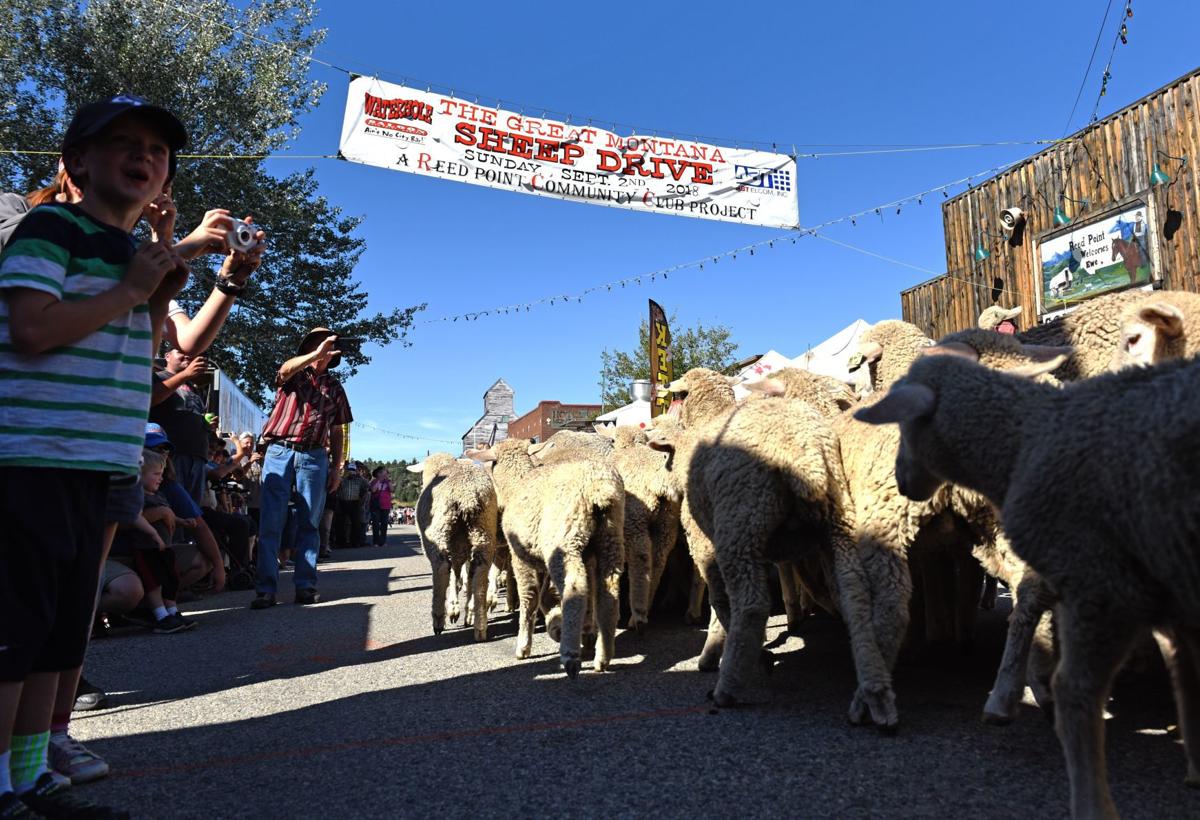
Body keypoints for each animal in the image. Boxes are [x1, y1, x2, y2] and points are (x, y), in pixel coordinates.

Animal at [408, 453, 499, 641]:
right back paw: (479, 625)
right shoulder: (462, 549)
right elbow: (463, 576)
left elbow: (453, 577)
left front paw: (453, 609)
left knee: (442, 568)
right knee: (480, 573)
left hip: (440, 532)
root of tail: (468, 494)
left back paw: (438, 620)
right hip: (484, 529)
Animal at [468, 437, 625, 678]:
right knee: (609, 592)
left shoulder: (520, 556)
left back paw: (570, 656)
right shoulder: (573, 558)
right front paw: (581, 631)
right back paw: (603, 657)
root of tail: (598, 489)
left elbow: (530, 596)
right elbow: (547, 596)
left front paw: (523, 645)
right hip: (610, 537)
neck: (517, 483)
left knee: (575, 586)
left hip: (564, 538)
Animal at [854, 352, 1200, 820]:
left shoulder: (1100, 585)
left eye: (906, 427)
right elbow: (1187, 674)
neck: (1023, 440)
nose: (901, 482)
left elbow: (1075, 691)